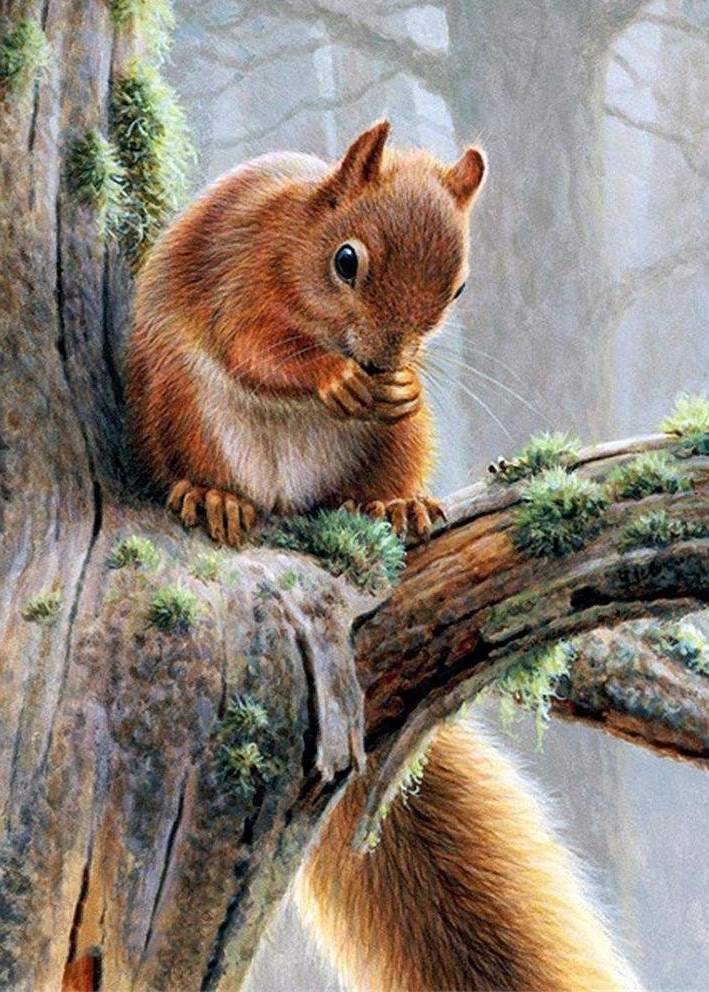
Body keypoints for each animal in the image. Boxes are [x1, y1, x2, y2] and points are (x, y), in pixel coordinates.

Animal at [124, 123, 640, 991]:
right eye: (346, 261)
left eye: (459, 288)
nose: (382, 359)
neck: (297, 242)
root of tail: (288, 503)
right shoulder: (237, 272)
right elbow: (254, 348)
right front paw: (330, 378)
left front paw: (391, 386)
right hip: (176, 399)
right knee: (201, 450)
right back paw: (212, 498)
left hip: (397, 445)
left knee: (372, 483)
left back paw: (395, 507)